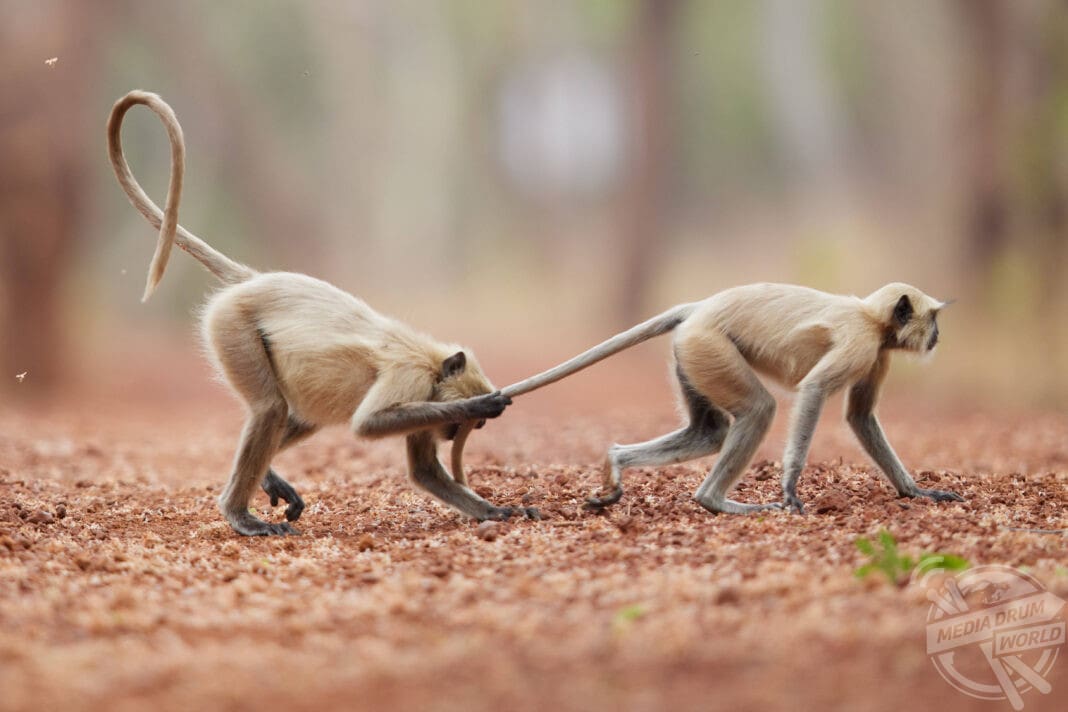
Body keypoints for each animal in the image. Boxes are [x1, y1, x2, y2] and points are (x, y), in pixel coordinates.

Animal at [108, 90, 535, 536]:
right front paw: (479, 405)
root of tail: (256, 280)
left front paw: (498, 511)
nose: (454, 434)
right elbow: (368, 424)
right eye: (469, 426)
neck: (431, 361)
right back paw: (239, 514)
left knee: (295, 414)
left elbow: (425, 472)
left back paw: (264, 479)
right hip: (230, 325)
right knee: (271, 408)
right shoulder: (413, 377)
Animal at [501, 283, 964, 514]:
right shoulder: (862, 342)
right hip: (708, 346)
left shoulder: (877, 352)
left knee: (710, 432)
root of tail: (700, 306)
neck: (871, 316)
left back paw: (616, 462)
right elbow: (815, 390)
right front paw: (790, 489)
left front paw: (916, 492)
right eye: (933, 320)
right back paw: (715, 502)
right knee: (759, 410)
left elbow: (861, 417)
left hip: (690, 353)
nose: (939, 335)